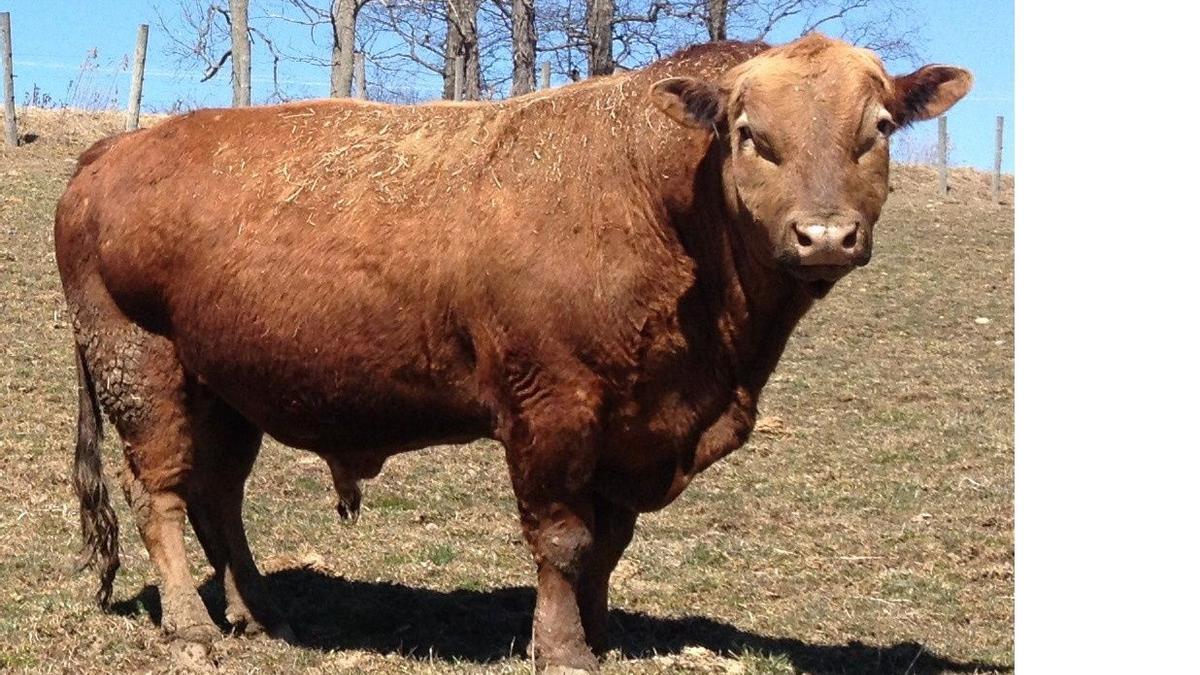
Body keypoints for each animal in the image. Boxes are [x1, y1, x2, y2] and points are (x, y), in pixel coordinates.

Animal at [55, 34, 970, 671]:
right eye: (751, 133)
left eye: (877, 128)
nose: (825, 235)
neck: (659, 197)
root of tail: (113, 150)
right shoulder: (553, 411)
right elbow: (563, 539)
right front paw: (562, 648)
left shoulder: (629, 427)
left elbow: (608, 541)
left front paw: (599, 633)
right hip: (143, 371)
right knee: (161, 496)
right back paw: (190, 627)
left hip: (228, 389)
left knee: (220, 498)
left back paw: (262, 614)